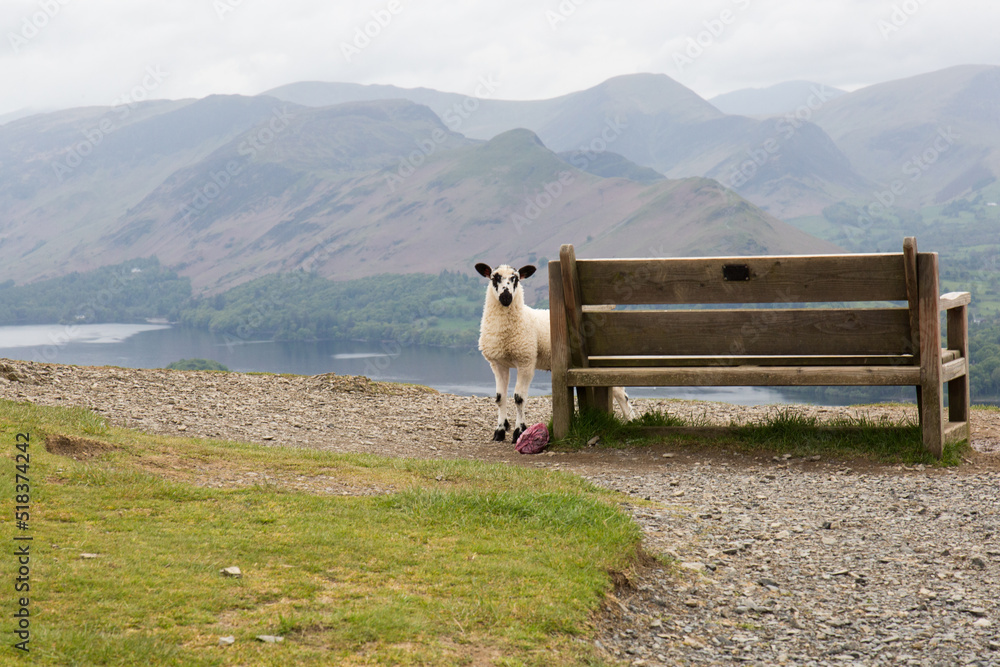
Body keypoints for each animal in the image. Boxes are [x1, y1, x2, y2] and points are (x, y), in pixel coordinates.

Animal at [475, 262, 635, 442]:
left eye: (515, 278)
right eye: (494, 277)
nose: (506, 297)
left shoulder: (526, 361)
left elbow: (519, 398)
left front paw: (519, 431)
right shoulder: (498, 364)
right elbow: (500, 398)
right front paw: (500, 431)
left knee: (620, 393)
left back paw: (631, 420)